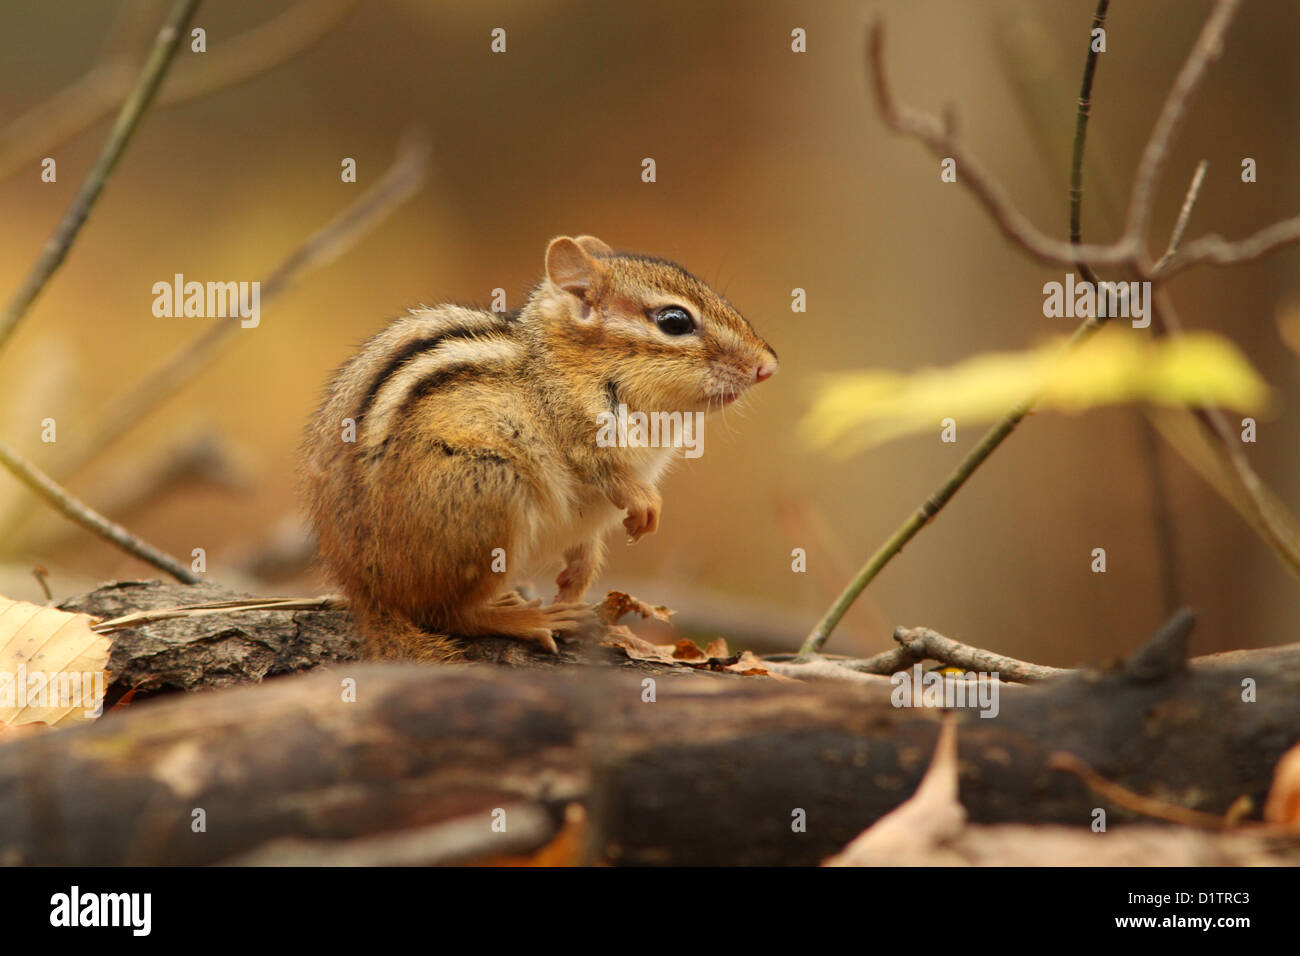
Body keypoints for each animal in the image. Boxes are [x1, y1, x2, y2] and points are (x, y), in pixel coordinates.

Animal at [300, 235, 778, 662]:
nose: (768, 366)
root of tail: (368, 592)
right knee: (449, 613)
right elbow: (605, 472)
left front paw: (577, 578)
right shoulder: (577, 430)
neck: (570, 363)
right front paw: (645, 505)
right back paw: (529, 620)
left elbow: (587, 545)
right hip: (490, 486)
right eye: (675, 321)